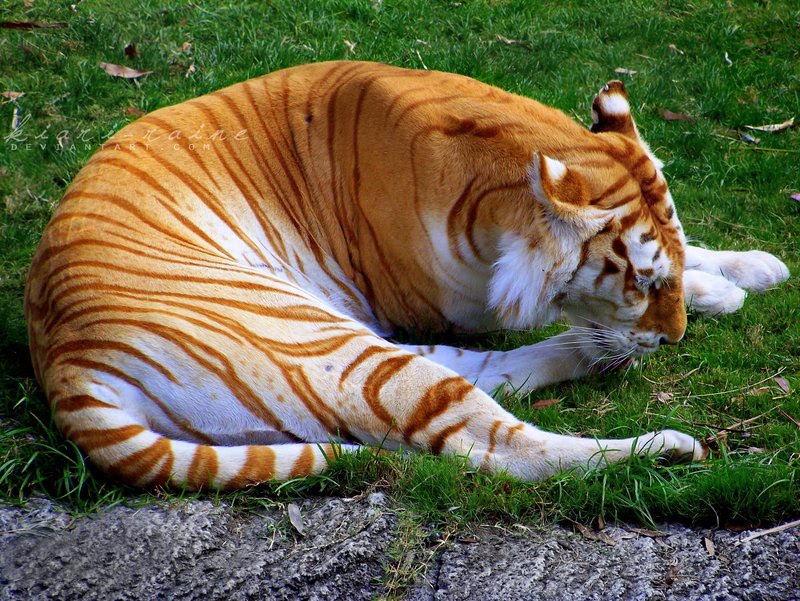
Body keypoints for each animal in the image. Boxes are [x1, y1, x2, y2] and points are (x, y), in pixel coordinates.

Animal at [24, 61, 789, 490]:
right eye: (641, 283)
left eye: (662, 271)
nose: (673, 341)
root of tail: (64, 364)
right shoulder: (455, 299)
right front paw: (718, 291)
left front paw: (750, 267)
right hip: (318, 339)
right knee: (497, 446)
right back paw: (664, 447)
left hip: (339, 342)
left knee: (492, 376)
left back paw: (594, 358)